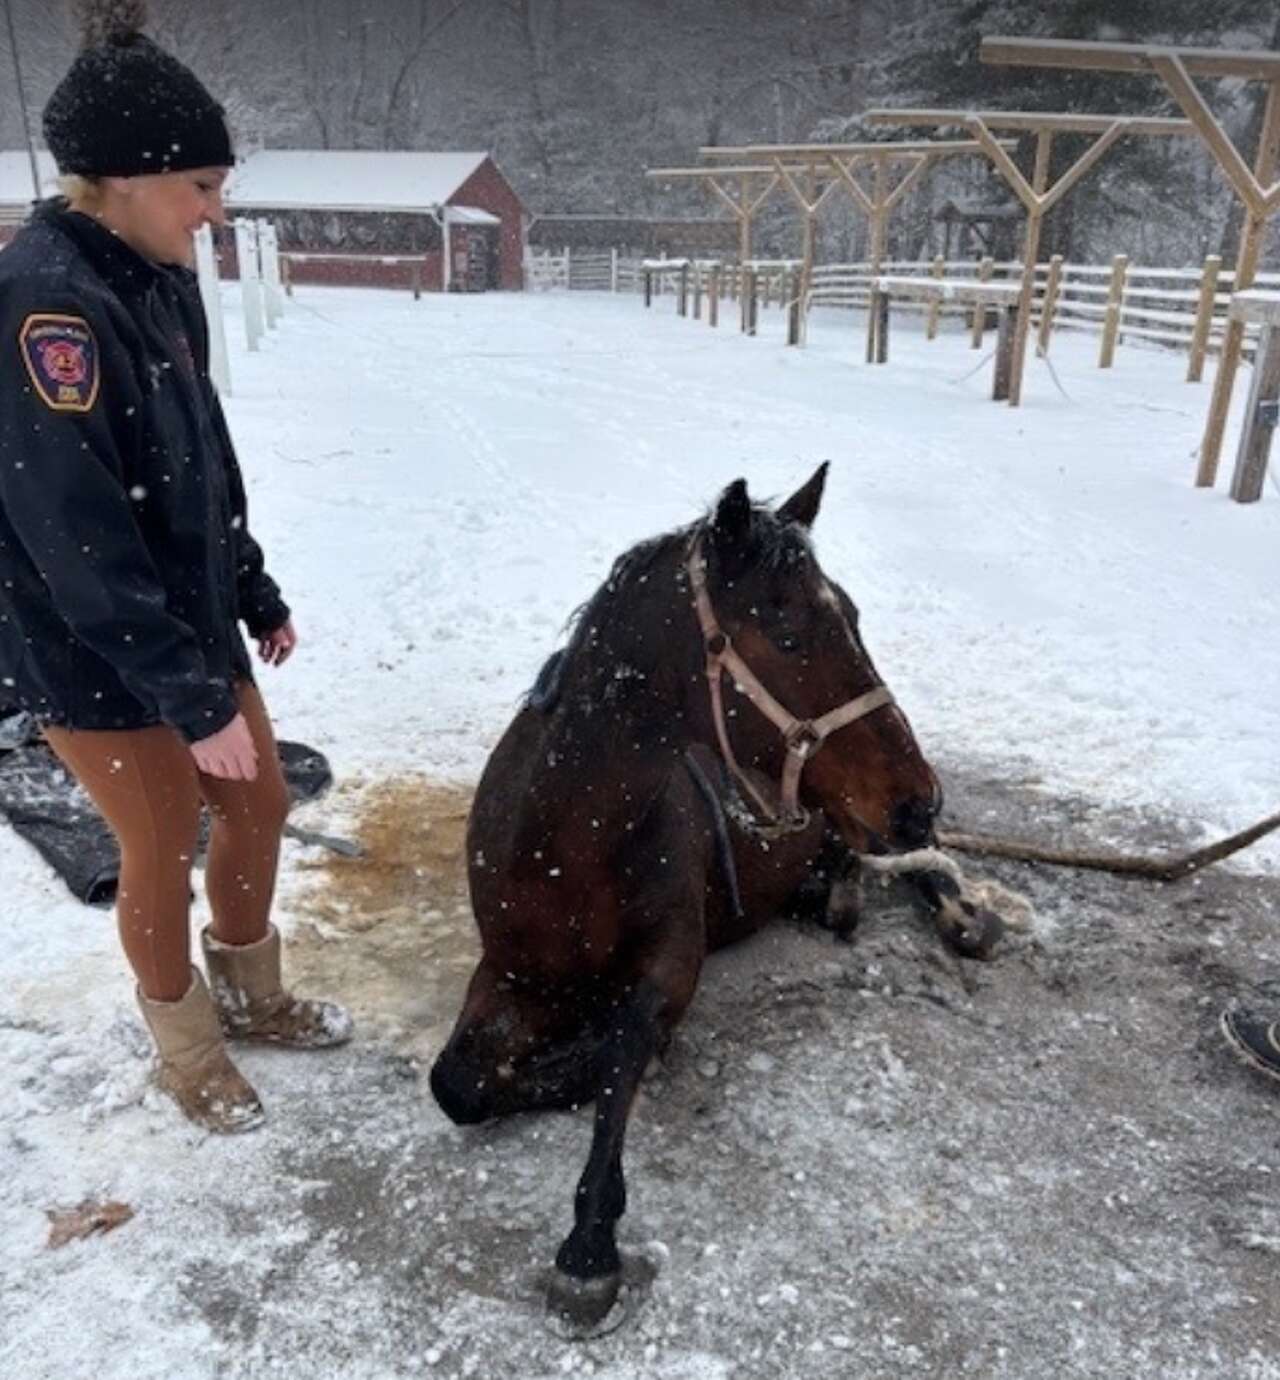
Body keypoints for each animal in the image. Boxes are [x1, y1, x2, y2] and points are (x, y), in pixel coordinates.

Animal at [430, 465, 994, 1331]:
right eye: (790, 634)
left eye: (854, 617)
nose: (918, 797)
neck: (564, 847)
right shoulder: (508, 974)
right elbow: (460, 1085)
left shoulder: (669, 969)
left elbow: (624, 1043)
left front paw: (589, 1243)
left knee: (915, 865)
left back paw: (959, 912)